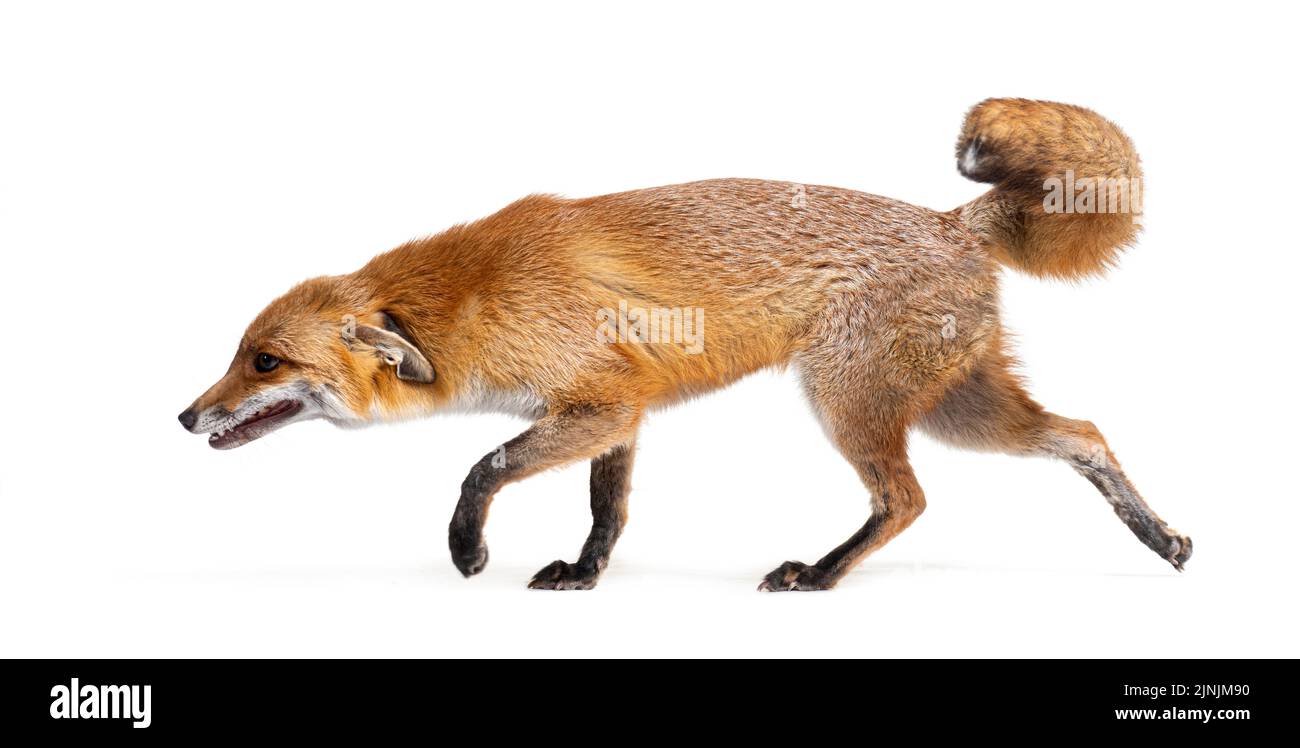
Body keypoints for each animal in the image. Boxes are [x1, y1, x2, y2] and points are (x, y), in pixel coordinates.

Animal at [179, 98, 1191, 591]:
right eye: (238, 352)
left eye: (264, 362)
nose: (185, 417)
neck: (470, 300)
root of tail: (953, 221)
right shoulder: (616, 412)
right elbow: (608, 511)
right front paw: (585, 578)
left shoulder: (597, 401)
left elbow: (480, 466)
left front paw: (468, 552)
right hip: (958, 408)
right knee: (1083, 434)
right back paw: (1164, 540)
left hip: (851, 404)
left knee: (906, 500)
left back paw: (820, 576)